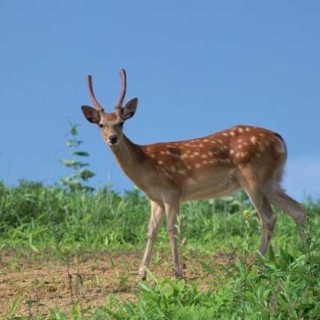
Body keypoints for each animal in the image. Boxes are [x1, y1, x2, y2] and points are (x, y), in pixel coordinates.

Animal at [81, 69, 306, 278]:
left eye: (121, 123)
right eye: (101, 124)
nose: (112, 138)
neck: (145, 165)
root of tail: (279, 139)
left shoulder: (172, 191)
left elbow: (172, 229)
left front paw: (177, 272)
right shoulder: (155, 198)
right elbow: (151, 231)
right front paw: (142, 273)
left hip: (253, 177)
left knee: (269, 217)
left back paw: (257, 262)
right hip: (271, 180)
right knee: (298, 209)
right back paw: (306, 254)